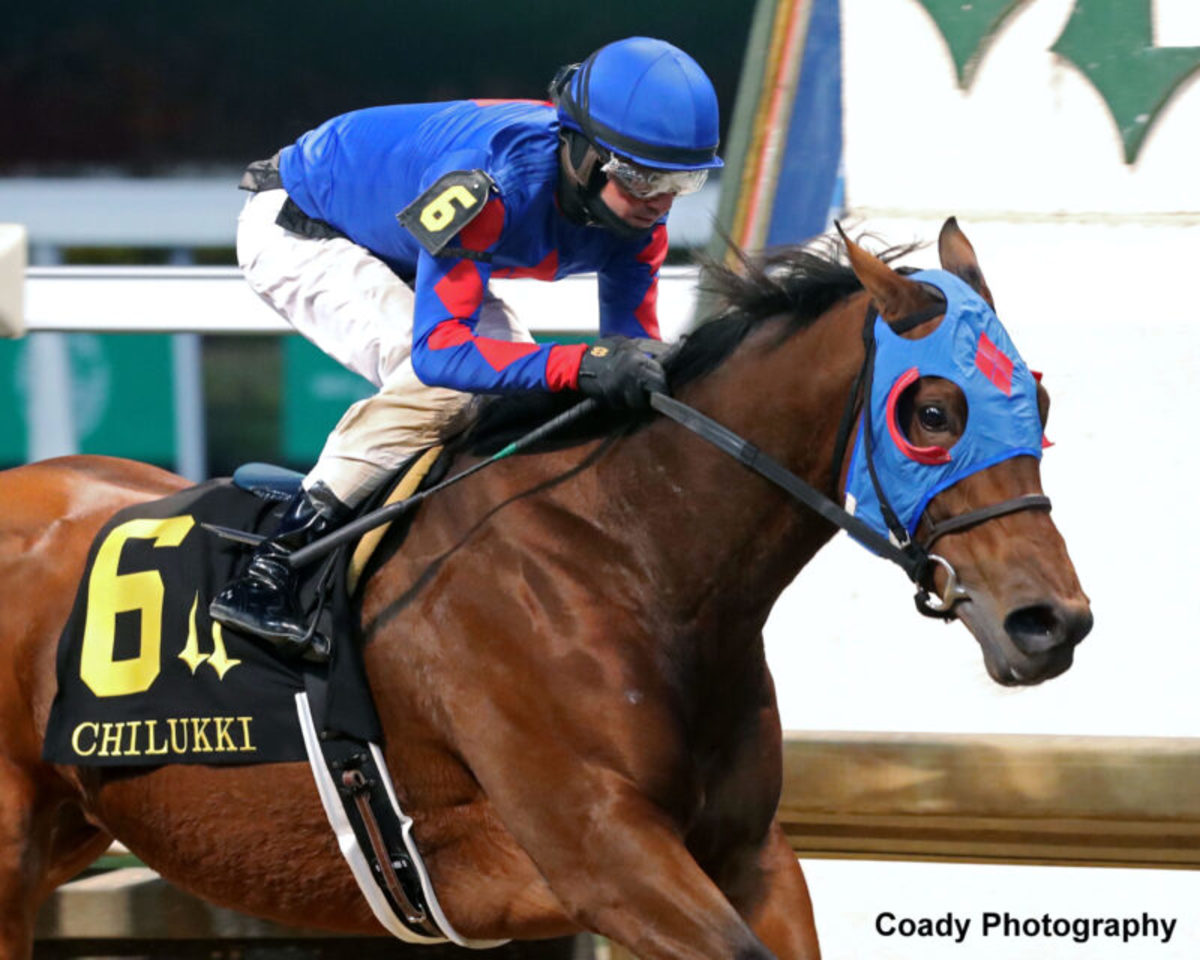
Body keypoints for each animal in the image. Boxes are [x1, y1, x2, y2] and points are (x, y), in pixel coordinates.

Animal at [0, 220, 1091, 960]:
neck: (633, 555)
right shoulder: (602, 857)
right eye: (933, 412)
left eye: (1037, 400)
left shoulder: (746, 853)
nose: (1051, 623)